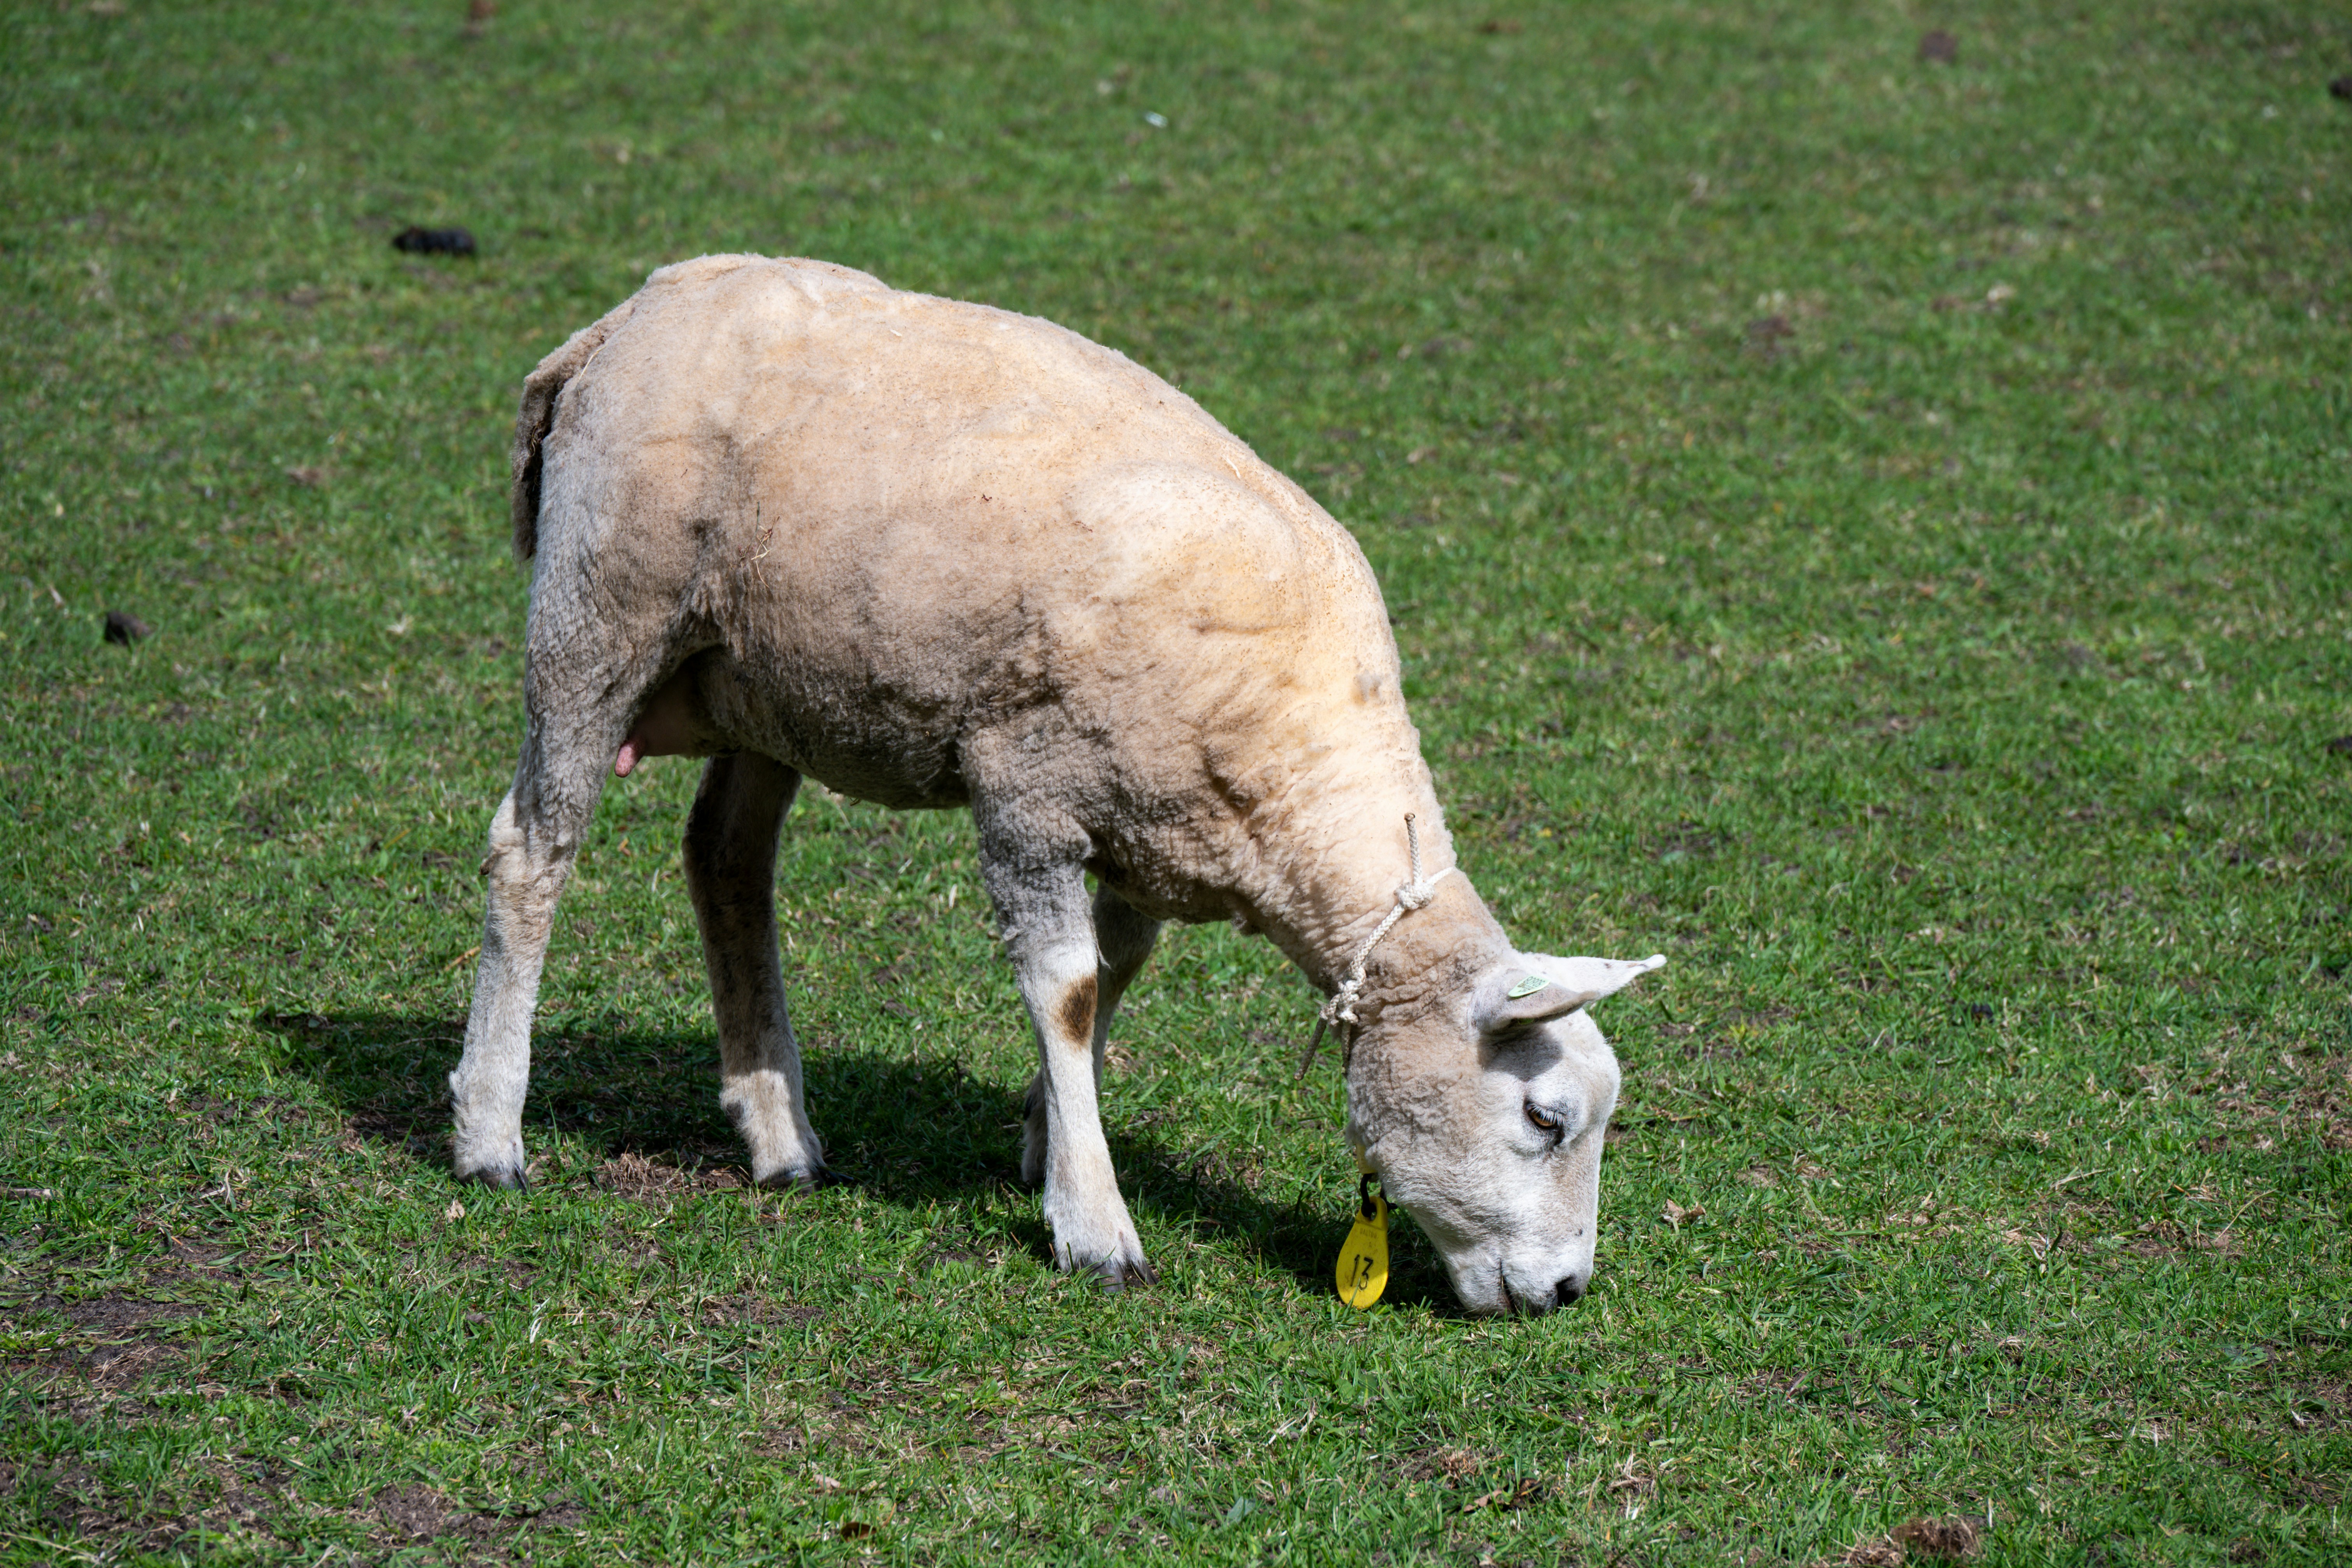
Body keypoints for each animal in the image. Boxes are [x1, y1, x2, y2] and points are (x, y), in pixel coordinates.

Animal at [448, 254, 1664, 1314]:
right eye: (1546, 1119)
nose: (1566, 1292)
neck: (1295, 779)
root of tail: (625, 318)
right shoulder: (1027, 788)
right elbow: (1070, 991)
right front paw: (1093, 1221)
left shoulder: (1149, 830)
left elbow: (1115, 975)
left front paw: (1046, 1144)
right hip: (601, 610)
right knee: (532, 850)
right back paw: (491, 1133)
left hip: (763, 682)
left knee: (726, 862)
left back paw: (778, 1134)